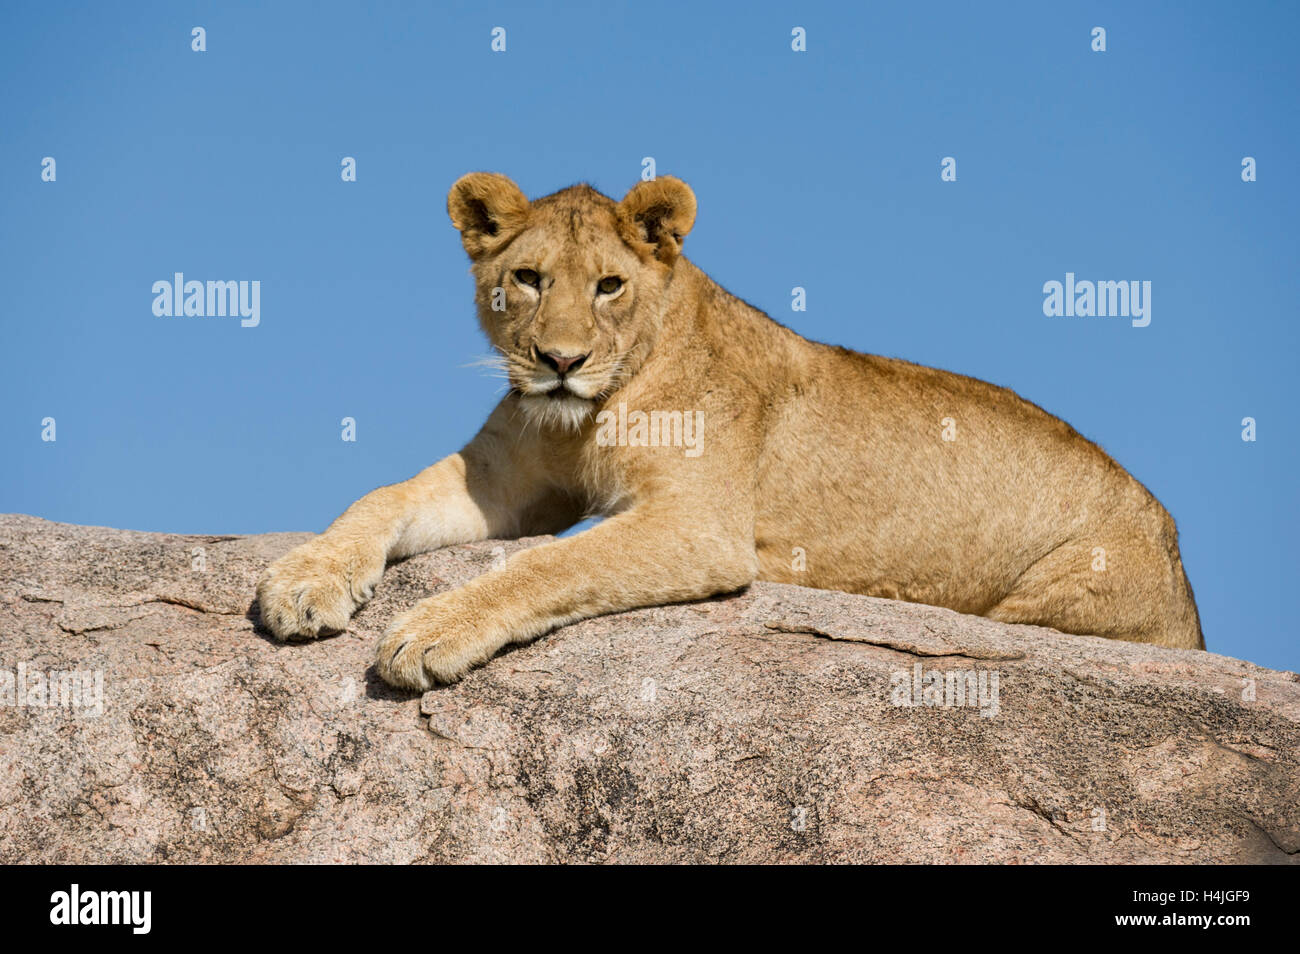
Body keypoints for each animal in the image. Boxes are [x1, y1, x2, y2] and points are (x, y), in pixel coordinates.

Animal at [256, 172, 1205, 689]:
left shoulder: (699, 526)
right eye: (526, 278)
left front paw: (431, 631)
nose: (558, 360)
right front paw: (301, 583)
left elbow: (549, 564)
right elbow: (381, 497)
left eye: (608, 285)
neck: (587, 415)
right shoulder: (501, 482)